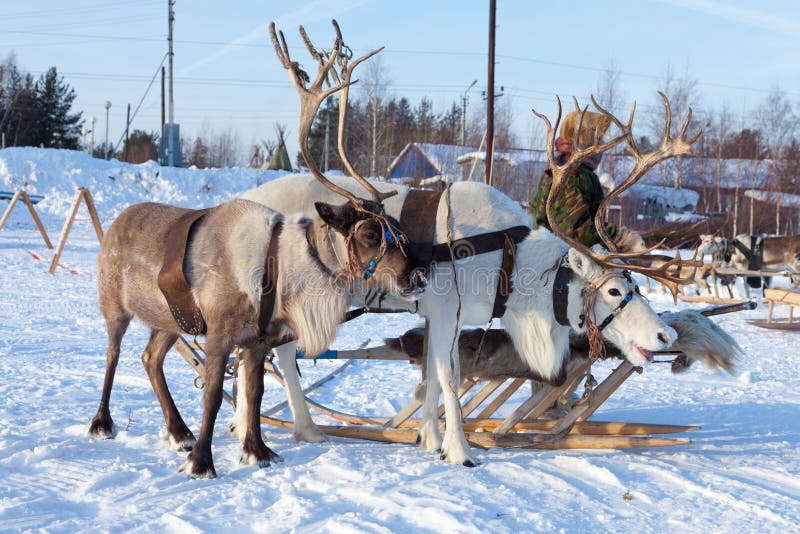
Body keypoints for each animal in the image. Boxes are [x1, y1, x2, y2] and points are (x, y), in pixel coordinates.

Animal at [87, 170, 425, 476]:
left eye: (397, 228)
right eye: (369, 234)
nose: (420, 276)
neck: (281, 268)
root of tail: (117, 221)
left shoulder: (258, 340)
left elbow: (255, 393)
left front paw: (257, 451)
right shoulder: (220, 335)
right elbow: (213, 396)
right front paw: (201, 463)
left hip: (171, 322)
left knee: (150, 358)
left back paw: (180, 433)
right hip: (115, 308)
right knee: (113, 355)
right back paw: (102, 423)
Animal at [236, 20, 701, 467]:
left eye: (636, 285)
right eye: (614, 290)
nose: (665, 334)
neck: (510, 268)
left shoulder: (448, 317)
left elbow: (435, 376)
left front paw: (429, 438)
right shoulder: (445, 311)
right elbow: (447, 379)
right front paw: (459, 450)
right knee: (276, 354)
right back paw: (295, 428)